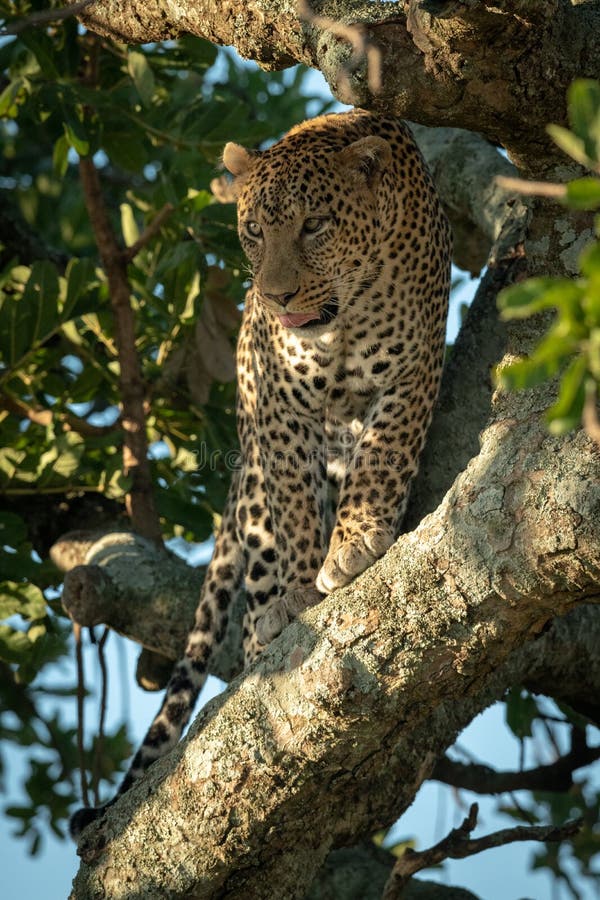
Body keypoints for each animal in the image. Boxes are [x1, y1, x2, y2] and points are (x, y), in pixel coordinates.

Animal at [70, 109, 452, 837]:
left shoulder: (414, 370)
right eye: (253, 231)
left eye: (315, 225)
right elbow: (297, 511)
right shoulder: (278, 404)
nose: (274, 296)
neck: (344, 318)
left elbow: (384, 453)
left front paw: (355, 540)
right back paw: (268, 620)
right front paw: (302, 588)